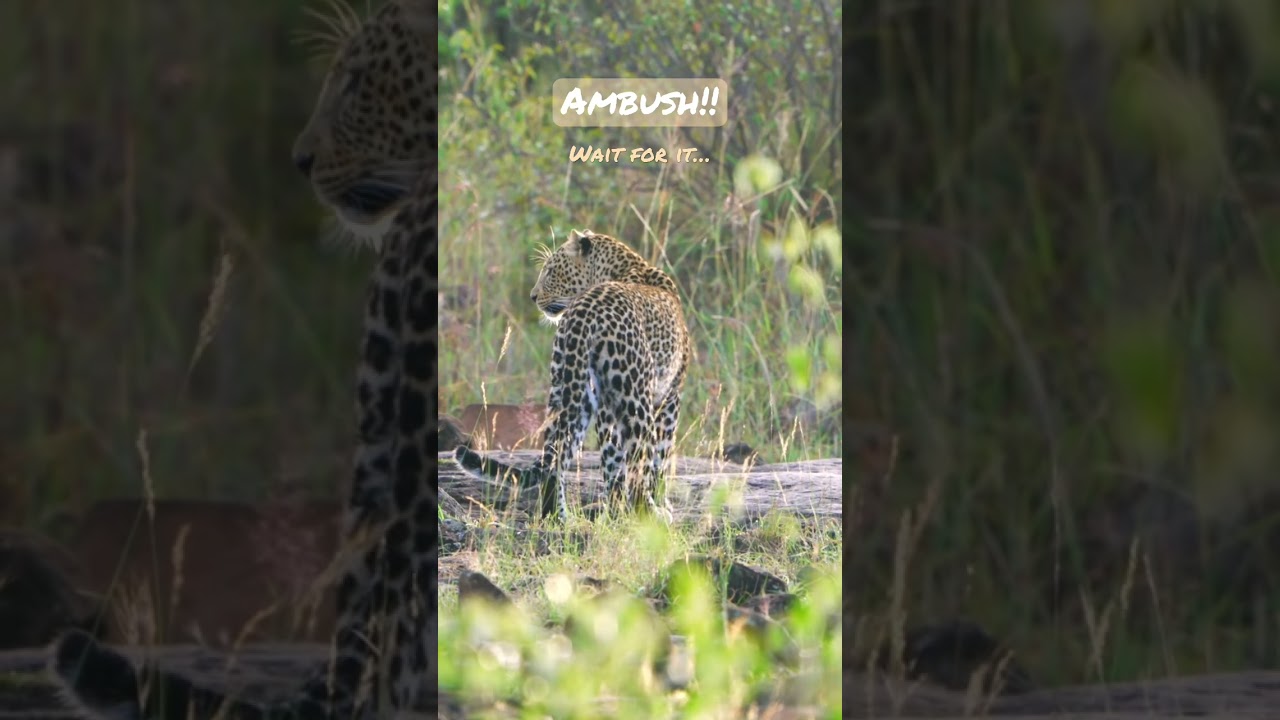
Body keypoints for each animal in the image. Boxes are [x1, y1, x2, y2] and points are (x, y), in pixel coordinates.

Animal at [454, 229, 692, 520]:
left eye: (550, 271)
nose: (533, 296)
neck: (627, 268)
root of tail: (586, 312)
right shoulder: (671, 397)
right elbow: (661, 454)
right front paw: (660, 502)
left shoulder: (608, 406)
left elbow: (614, 462)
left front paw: (616, 511)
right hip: (635, 399)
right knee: (638, 461)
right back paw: (649, 512)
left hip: (568, 389)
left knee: (557, 456)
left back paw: (559, 517)